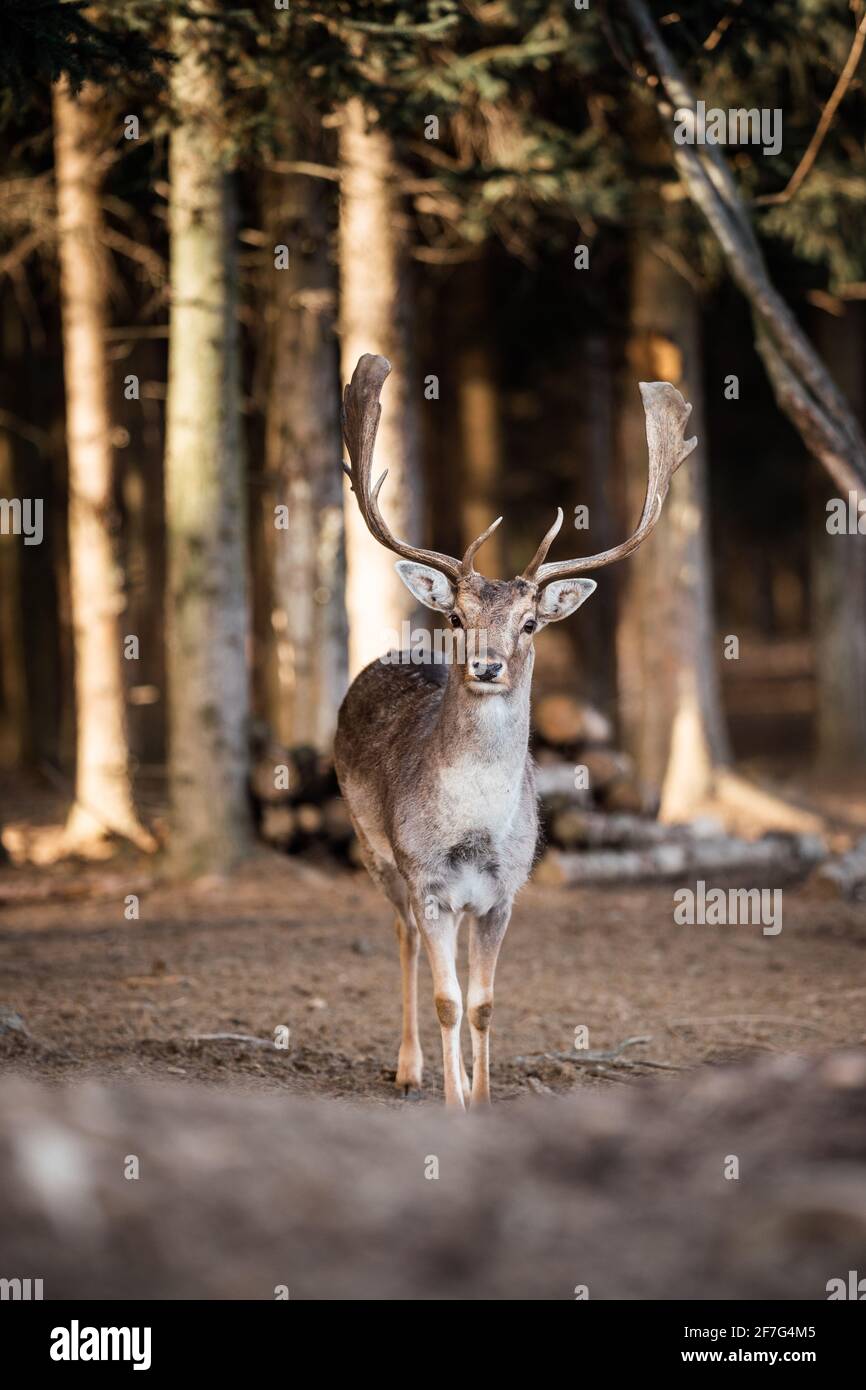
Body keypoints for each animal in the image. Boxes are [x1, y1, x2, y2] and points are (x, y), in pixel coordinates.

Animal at [334, 353, 696, 1109]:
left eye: (530, 623)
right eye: (455, 617)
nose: (487, 664)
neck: (474, 835)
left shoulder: (504, 892)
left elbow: (483, 1005)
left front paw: (483, 1100)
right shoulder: (427, 878)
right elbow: (447, 1000)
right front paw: (451, 1101)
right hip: (374, 849)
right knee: (403, 938)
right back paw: (410, 1067)